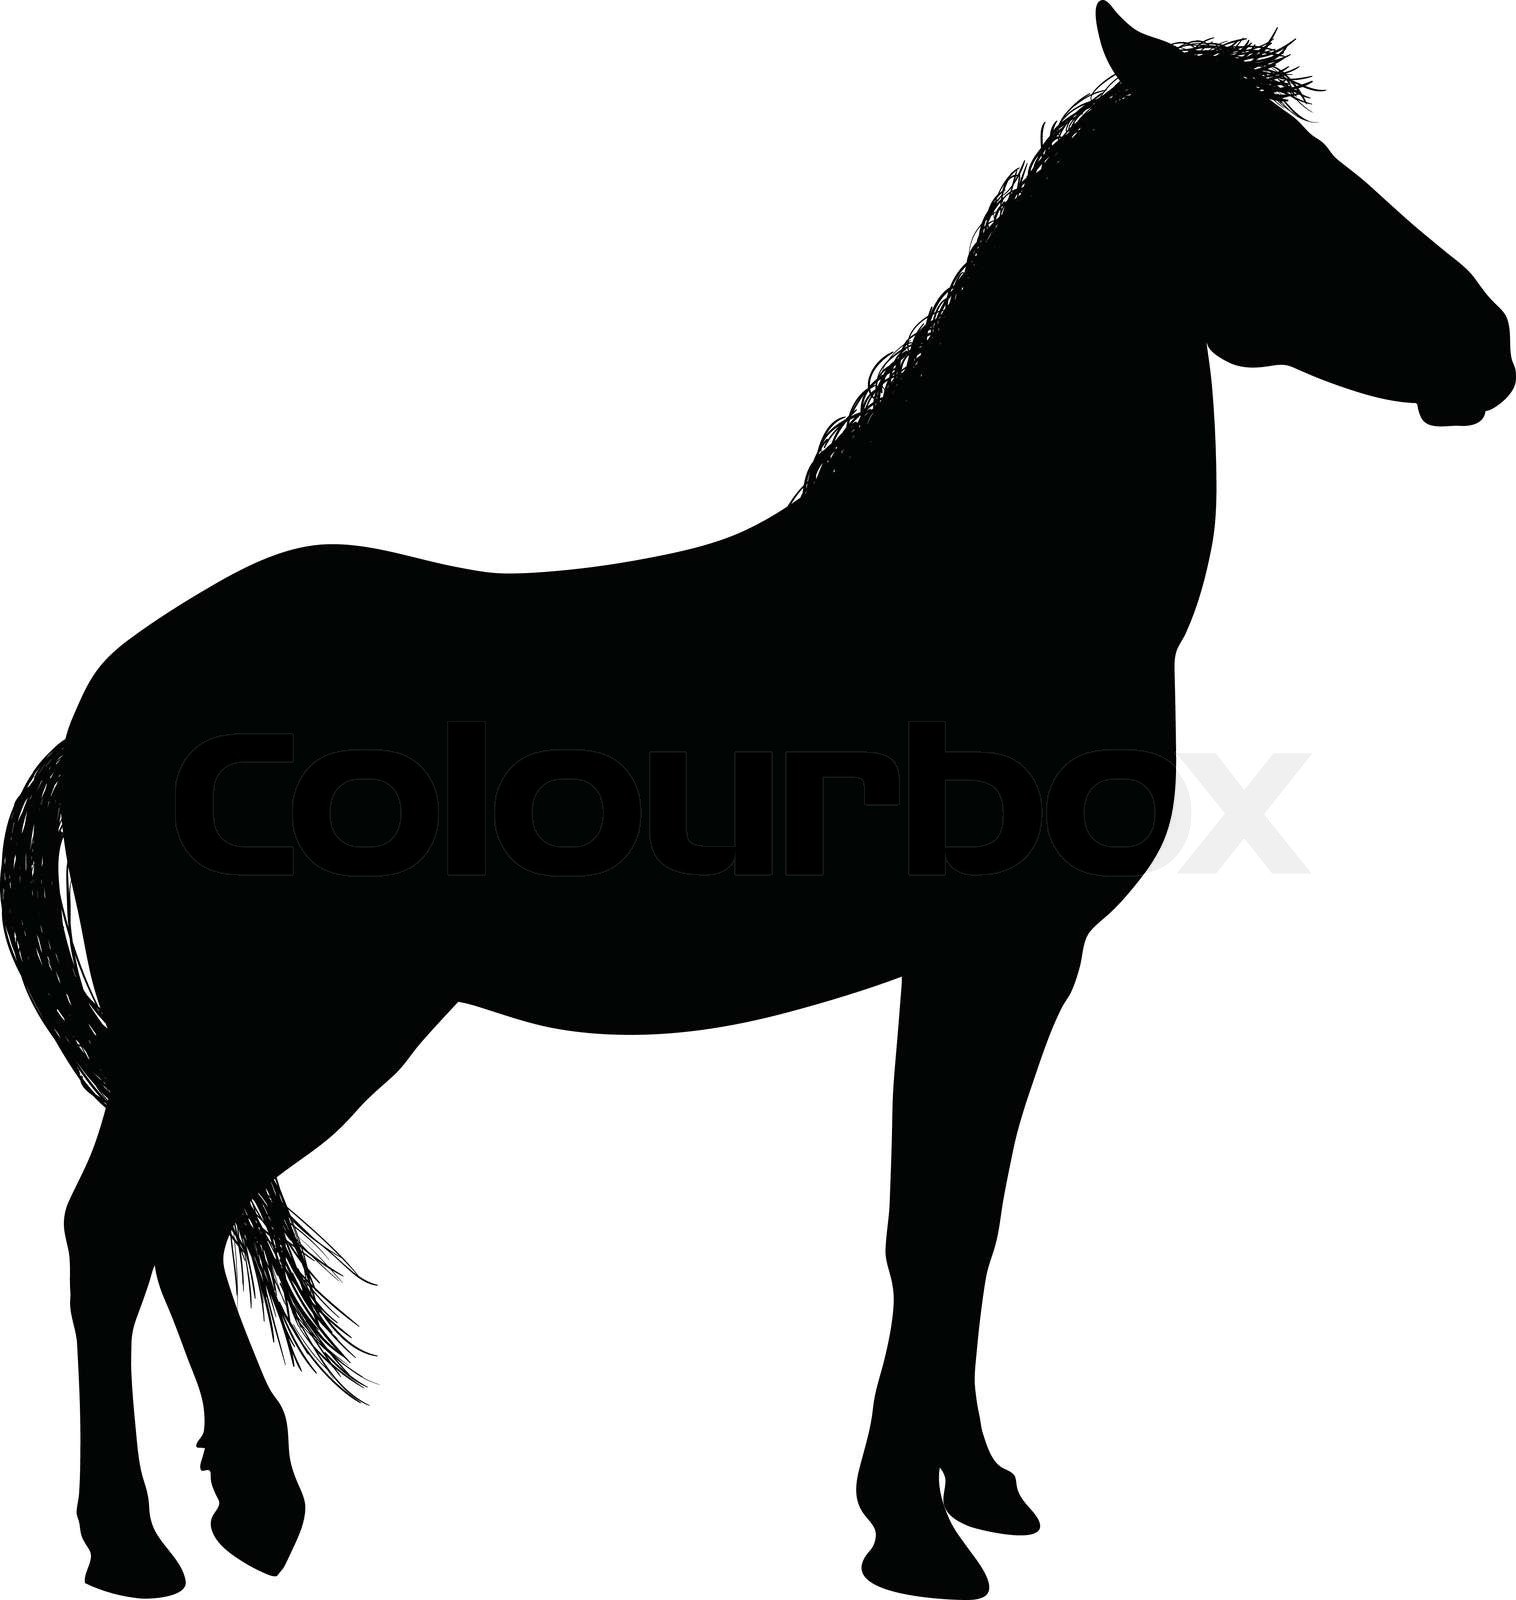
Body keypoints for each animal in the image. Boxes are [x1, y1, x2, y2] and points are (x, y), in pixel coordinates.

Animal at [2, 6, 1510, 1597]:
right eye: (1275, 184)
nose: (1489, 346)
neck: (972, 583)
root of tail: (103, 705)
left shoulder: (998, 969)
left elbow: (964, 1224)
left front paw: (975, 1484)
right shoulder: (995, 954)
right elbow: (934, 1228)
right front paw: (910, 1527)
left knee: (176, 1214)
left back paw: (258, 1499)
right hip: (294, 1023)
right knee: (117, 1223)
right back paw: (134, 1542)